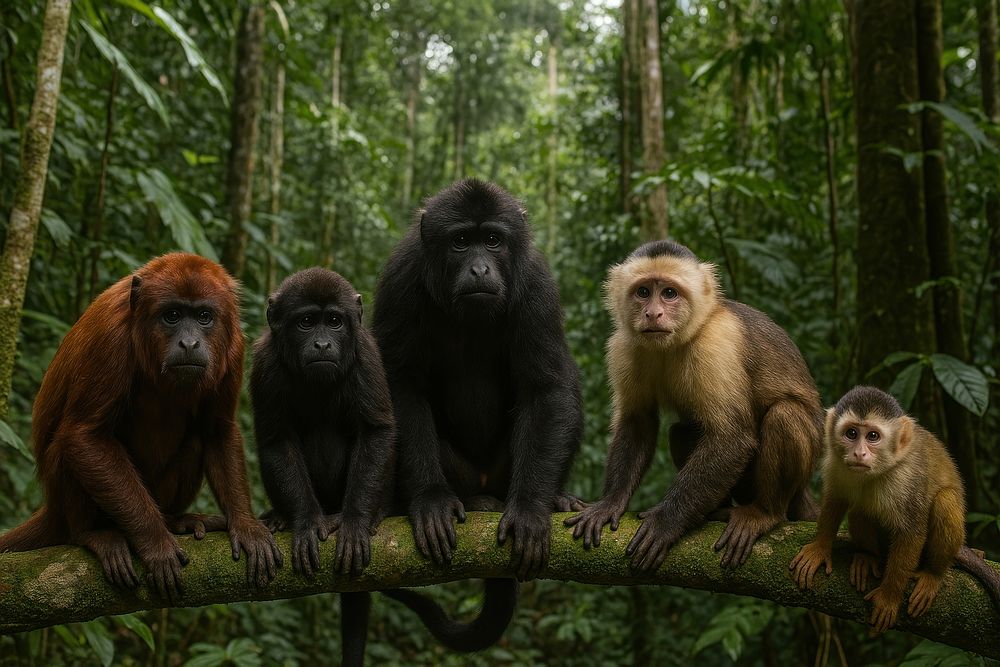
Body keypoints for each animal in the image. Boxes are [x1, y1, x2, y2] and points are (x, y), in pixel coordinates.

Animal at [0, 253, 281, 601]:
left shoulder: (235, 345)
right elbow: (84, 435)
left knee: (196, 440)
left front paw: (245, 525)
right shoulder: (111, 336)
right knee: (67, 449)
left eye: (204, 316)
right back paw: (92, 533)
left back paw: (176, 520)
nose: (190, 343)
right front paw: (156, 544)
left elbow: (217, 429)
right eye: (172, 315)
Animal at [250, 268, 395, 667]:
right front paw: (304, 521)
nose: (322, 345)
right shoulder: (265, 363)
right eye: (306, 322)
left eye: (333, 322)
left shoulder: (366, 356)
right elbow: (276, 440)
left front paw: (356, 521)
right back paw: (283, 515)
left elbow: (375, 430)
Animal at [372, 178, 584, 649]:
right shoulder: (401, 277)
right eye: (461, 242)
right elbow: (399, 384)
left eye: (492, 240)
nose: (480, 269)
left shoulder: (537, 284)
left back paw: (554, 497)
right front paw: (430, 499)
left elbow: (547, 387)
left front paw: (530, 509)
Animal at [565, 239, 822, 571]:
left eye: (669, 293)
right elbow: (638, 421)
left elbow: (732, 439)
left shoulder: (716, 344)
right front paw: (610, 503)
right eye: (643, 292)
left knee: (785, 414)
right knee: (681, 432)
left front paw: (665, 523)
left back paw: (764, 512)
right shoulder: (623, 346)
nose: (653, 313)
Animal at [790, 386, 1000, 633]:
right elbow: (836, 499)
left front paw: (889, 597)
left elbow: (911, 532)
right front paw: (820, 549)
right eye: (851, 433)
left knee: (945, 500)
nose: (859, 453)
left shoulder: (907, 478)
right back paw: (867, 556)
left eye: (872, 436)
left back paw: (934, 573)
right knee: (861, 507)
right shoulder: (835, 461)